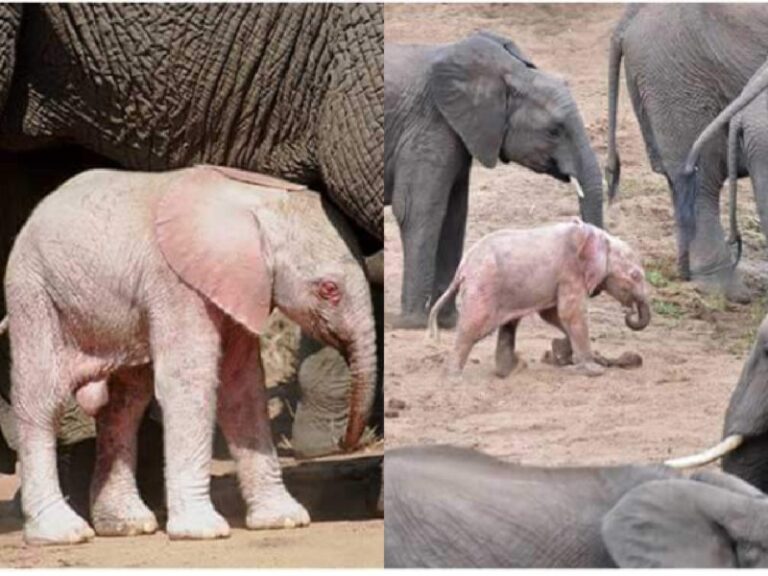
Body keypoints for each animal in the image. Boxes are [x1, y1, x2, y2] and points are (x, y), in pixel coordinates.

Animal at [2, 165, 377, 545]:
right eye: (329, 289)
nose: (344, 443)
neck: (259, 201)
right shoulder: (177, 284)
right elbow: (189, 383)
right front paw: (203, 530)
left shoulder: (239, 288)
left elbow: (241, 387)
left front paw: (285, 519)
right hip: (34, 291)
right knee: (43, 398)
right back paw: (63, 532)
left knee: (125, 402)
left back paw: (128, 524)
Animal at [385, 30, 604, 330]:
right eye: (554, 131)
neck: (509, 73)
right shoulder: (429, 126)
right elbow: (417, 210)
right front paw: (412, 324)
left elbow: (454, 215)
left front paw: (449, 322)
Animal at [428, 220, 650, 377]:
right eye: (635, 276)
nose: (629, 312)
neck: (599, 237)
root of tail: (462, 268)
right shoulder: (570, 272)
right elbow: (570, 313)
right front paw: (594, 370)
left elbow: (552, 314)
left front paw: (561, 352)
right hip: (483, 287)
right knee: (472, 327)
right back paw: (453, 377)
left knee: (509, 324)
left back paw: (513, 369)